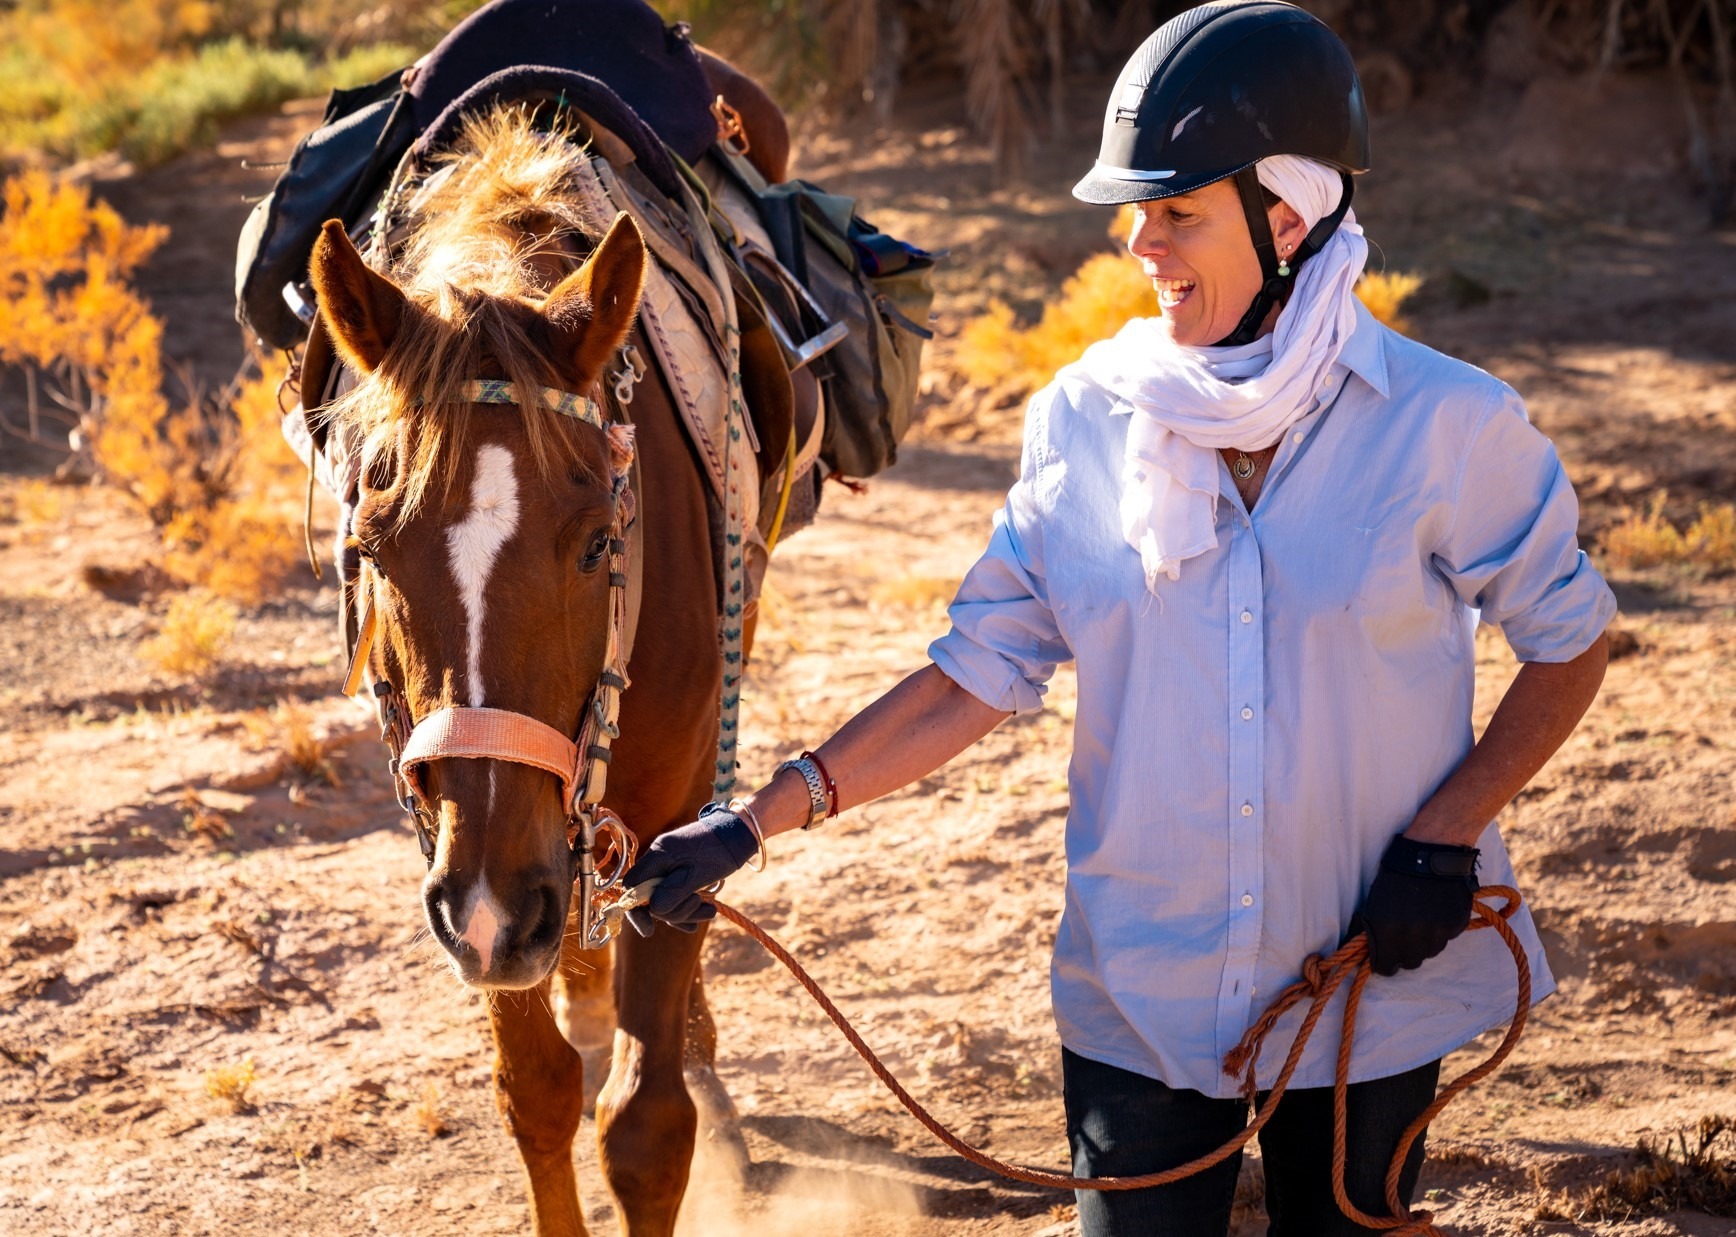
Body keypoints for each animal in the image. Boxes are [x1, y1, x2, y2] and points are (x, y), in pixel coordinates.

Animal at [307, 58, 792, 1236]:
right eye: (371, 548)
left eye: (598, 545)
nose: (497, 908)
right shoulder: (444, 834)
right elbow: (533, 1089)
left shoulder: (665, 815)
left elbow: (646, 1127)